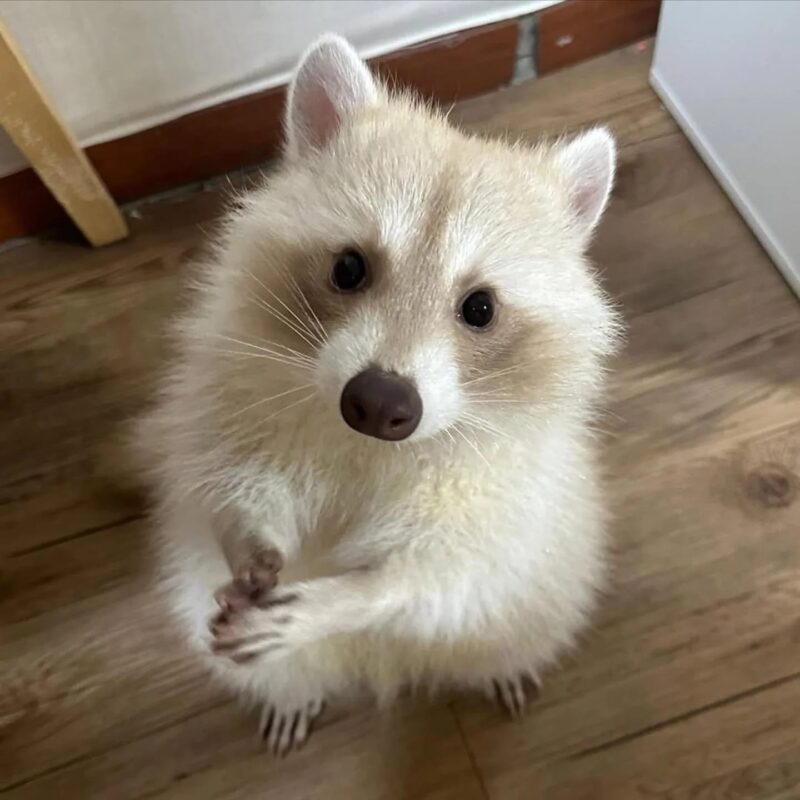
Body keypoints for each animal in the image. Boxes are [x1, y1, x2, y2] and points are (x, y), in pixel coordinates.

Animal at [138, 34, 620, 755]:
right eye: (348, 268)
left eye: (480, 308)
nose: (380, 403)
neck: (365, 444)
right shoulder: (229, 402)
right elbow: (224, 485)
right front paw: (251, 543)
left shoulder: (505, 494)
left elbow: (436, 576)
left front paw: (346, 598)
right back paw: (293, 690)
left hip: (542, 591)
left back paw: (503, 662)